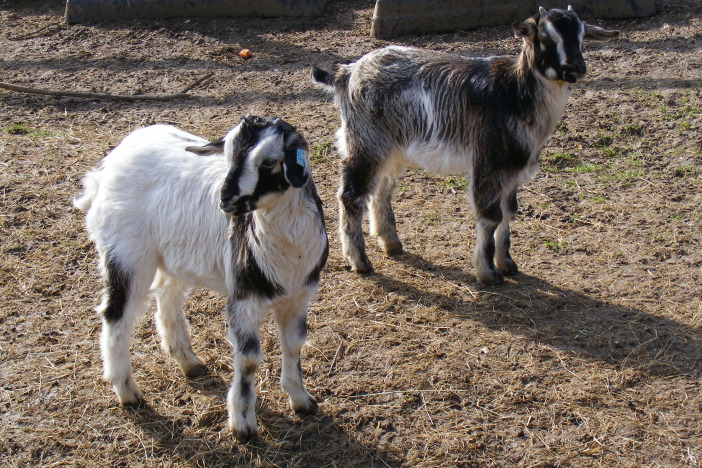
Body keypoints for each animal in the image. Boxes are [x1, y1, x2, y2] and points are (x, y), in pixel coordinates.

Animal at [74, 115, 329, 441]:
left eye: (270, 161)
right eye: (228, 155)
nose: (226, 199)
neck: (289, 248)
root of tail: (109, 163)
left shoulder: (299, 294)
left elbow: (294, 344)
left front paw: (302, 400)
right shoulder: (243, 298)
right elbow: (248, 358)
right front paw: (243, 425)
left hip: (172, 256)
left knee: (166, 296)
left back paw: (188, 362)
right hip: (125, 253)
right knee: (116, 316)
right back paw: (128, 392)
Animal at [312, 6, 618, 284]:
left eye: (582, 36)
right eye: (545, 37)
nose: (577, 68)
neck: (514, 92)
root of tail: (347, 72)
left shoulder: (512, 169)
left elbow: (509, 212)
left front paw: (507, 264)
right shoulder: (488, 161)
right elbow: (491, 216)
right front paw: (487, 273)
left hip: (392, 148)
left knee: (382, 189)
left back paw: (392, 244)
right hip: (365, 141)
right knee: (350, 196)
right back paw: (360, 261)